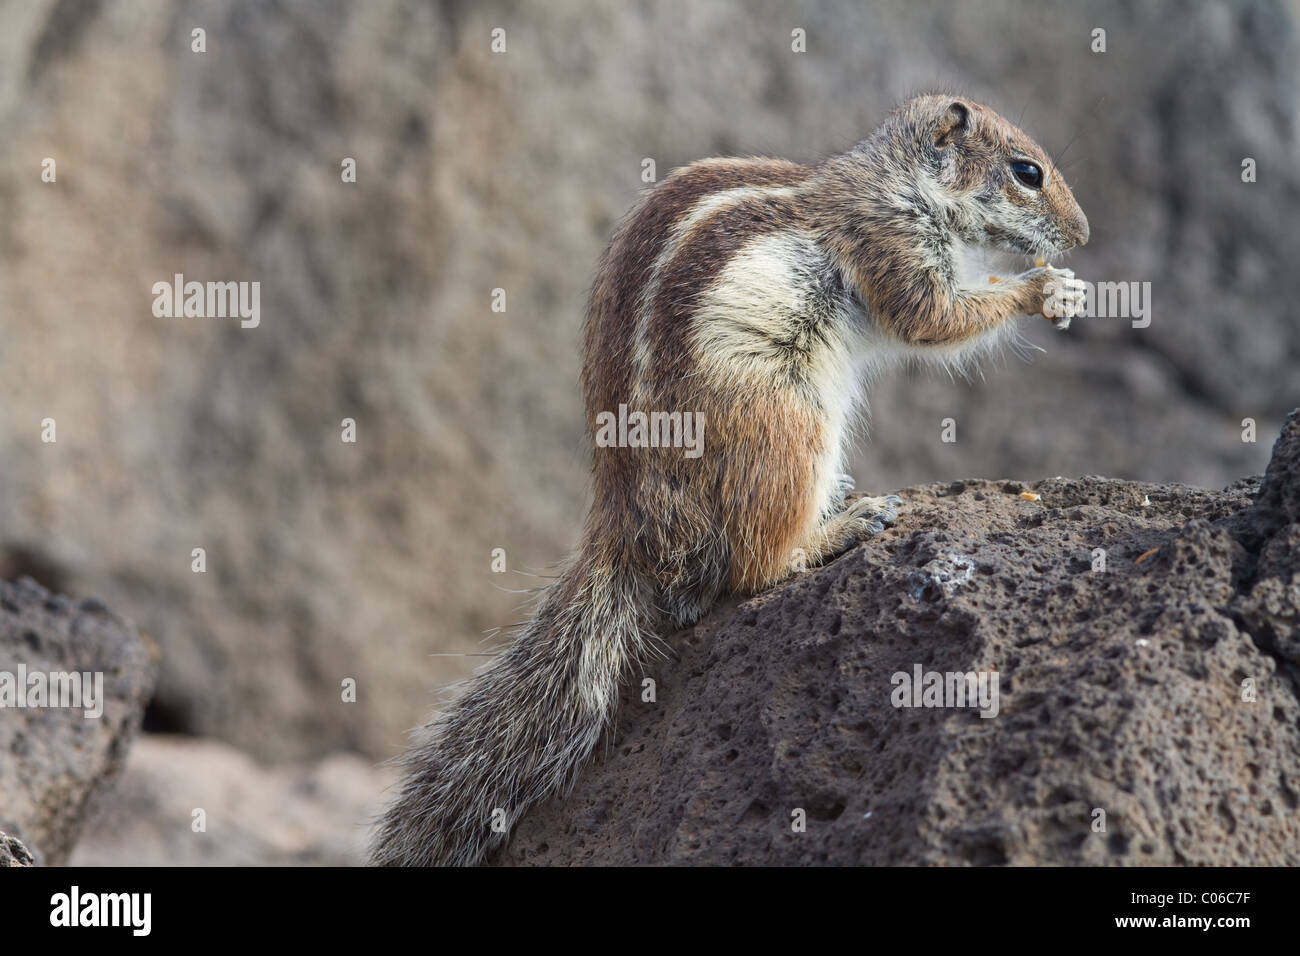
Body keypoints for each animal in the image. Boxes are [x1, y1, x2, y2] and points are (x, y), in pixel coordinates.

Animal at [372, 93, 1089, 866]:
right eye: (1027, 172)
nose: (1082, 233)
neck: (899, 179)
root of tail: (625, 518)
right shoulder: (892, 245)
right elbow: (936, 316)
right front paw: (1042, 289)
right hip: (788, 427)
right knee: (752, 566)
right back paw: (837, 529)